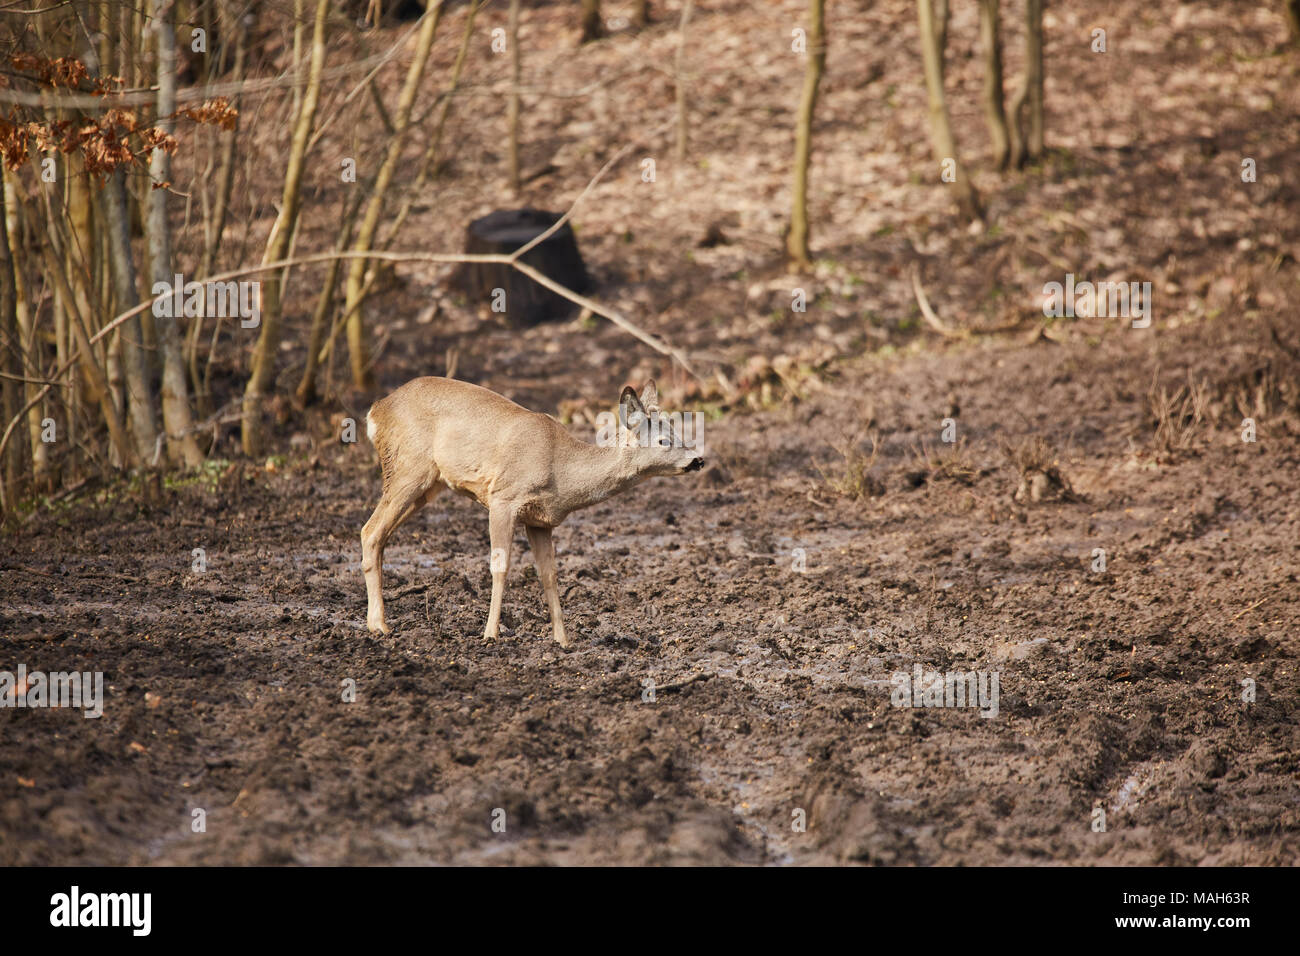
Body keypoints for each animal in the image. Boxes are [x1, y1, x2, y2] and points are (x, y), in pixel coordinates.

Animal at [361, 378, 704, 647]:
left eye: (677, 430)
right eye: (663, 440)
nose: (698, 460)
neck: (560, 470)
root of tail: (376, 410)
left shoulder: (540, 521)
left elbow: (549, 575)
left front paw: (563, 640)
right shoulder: (502, 498)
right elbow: (500, 567)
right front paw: (490, 634)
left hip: (426, 484)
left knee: (378, 534)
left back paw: (377, 622)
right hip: (409, 466)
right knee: (370, 530)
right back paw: (380, 626)